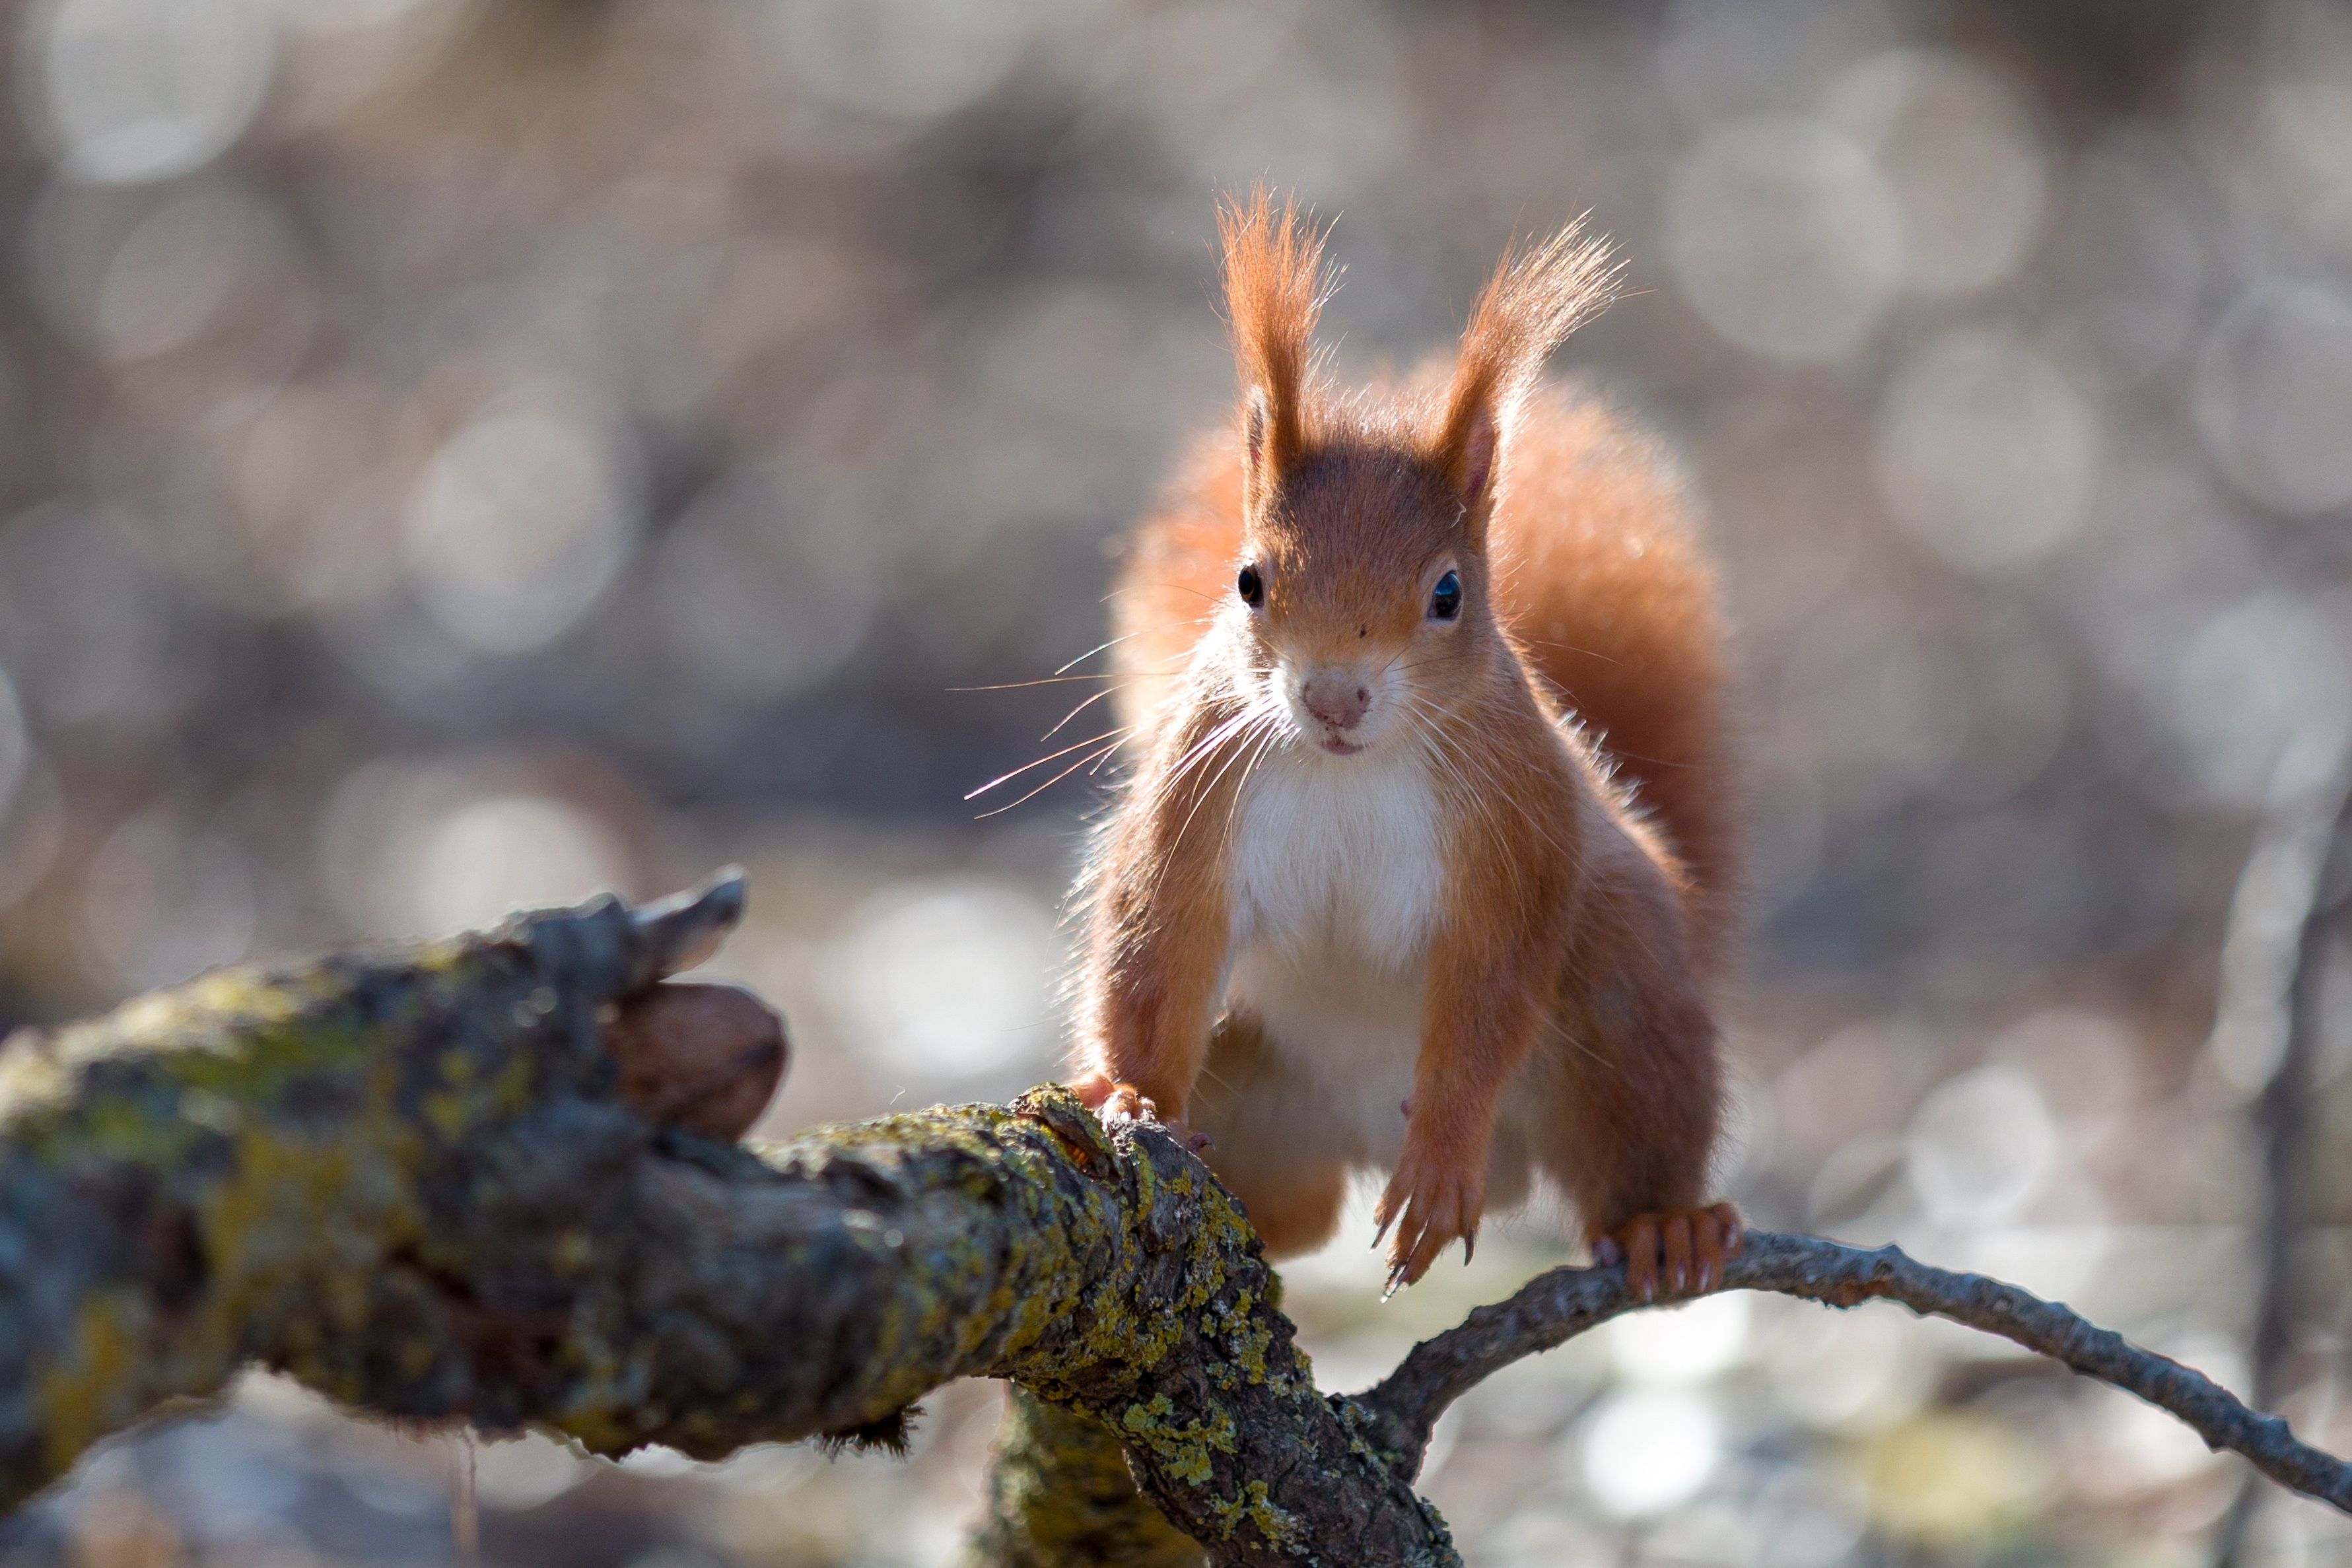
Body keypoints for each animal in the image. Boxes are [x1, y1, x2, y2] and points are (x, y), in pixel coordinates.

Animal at [1067, 190, 1741, 1299]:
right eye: (1248, 579)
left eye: (1447, 593)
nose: (1333, 696)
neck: (1348, 772)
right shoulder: (1195, 801)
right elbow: (1157, 952)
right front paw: (1129, 1096)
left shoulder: (1512, 846)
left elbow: (1484, 1003)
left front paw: (1437, 1169)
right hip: (1252, 1083)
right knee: (1289, 1212)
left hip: (1624, 999)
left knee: (1630, 1137)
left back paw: (1662, 1224)